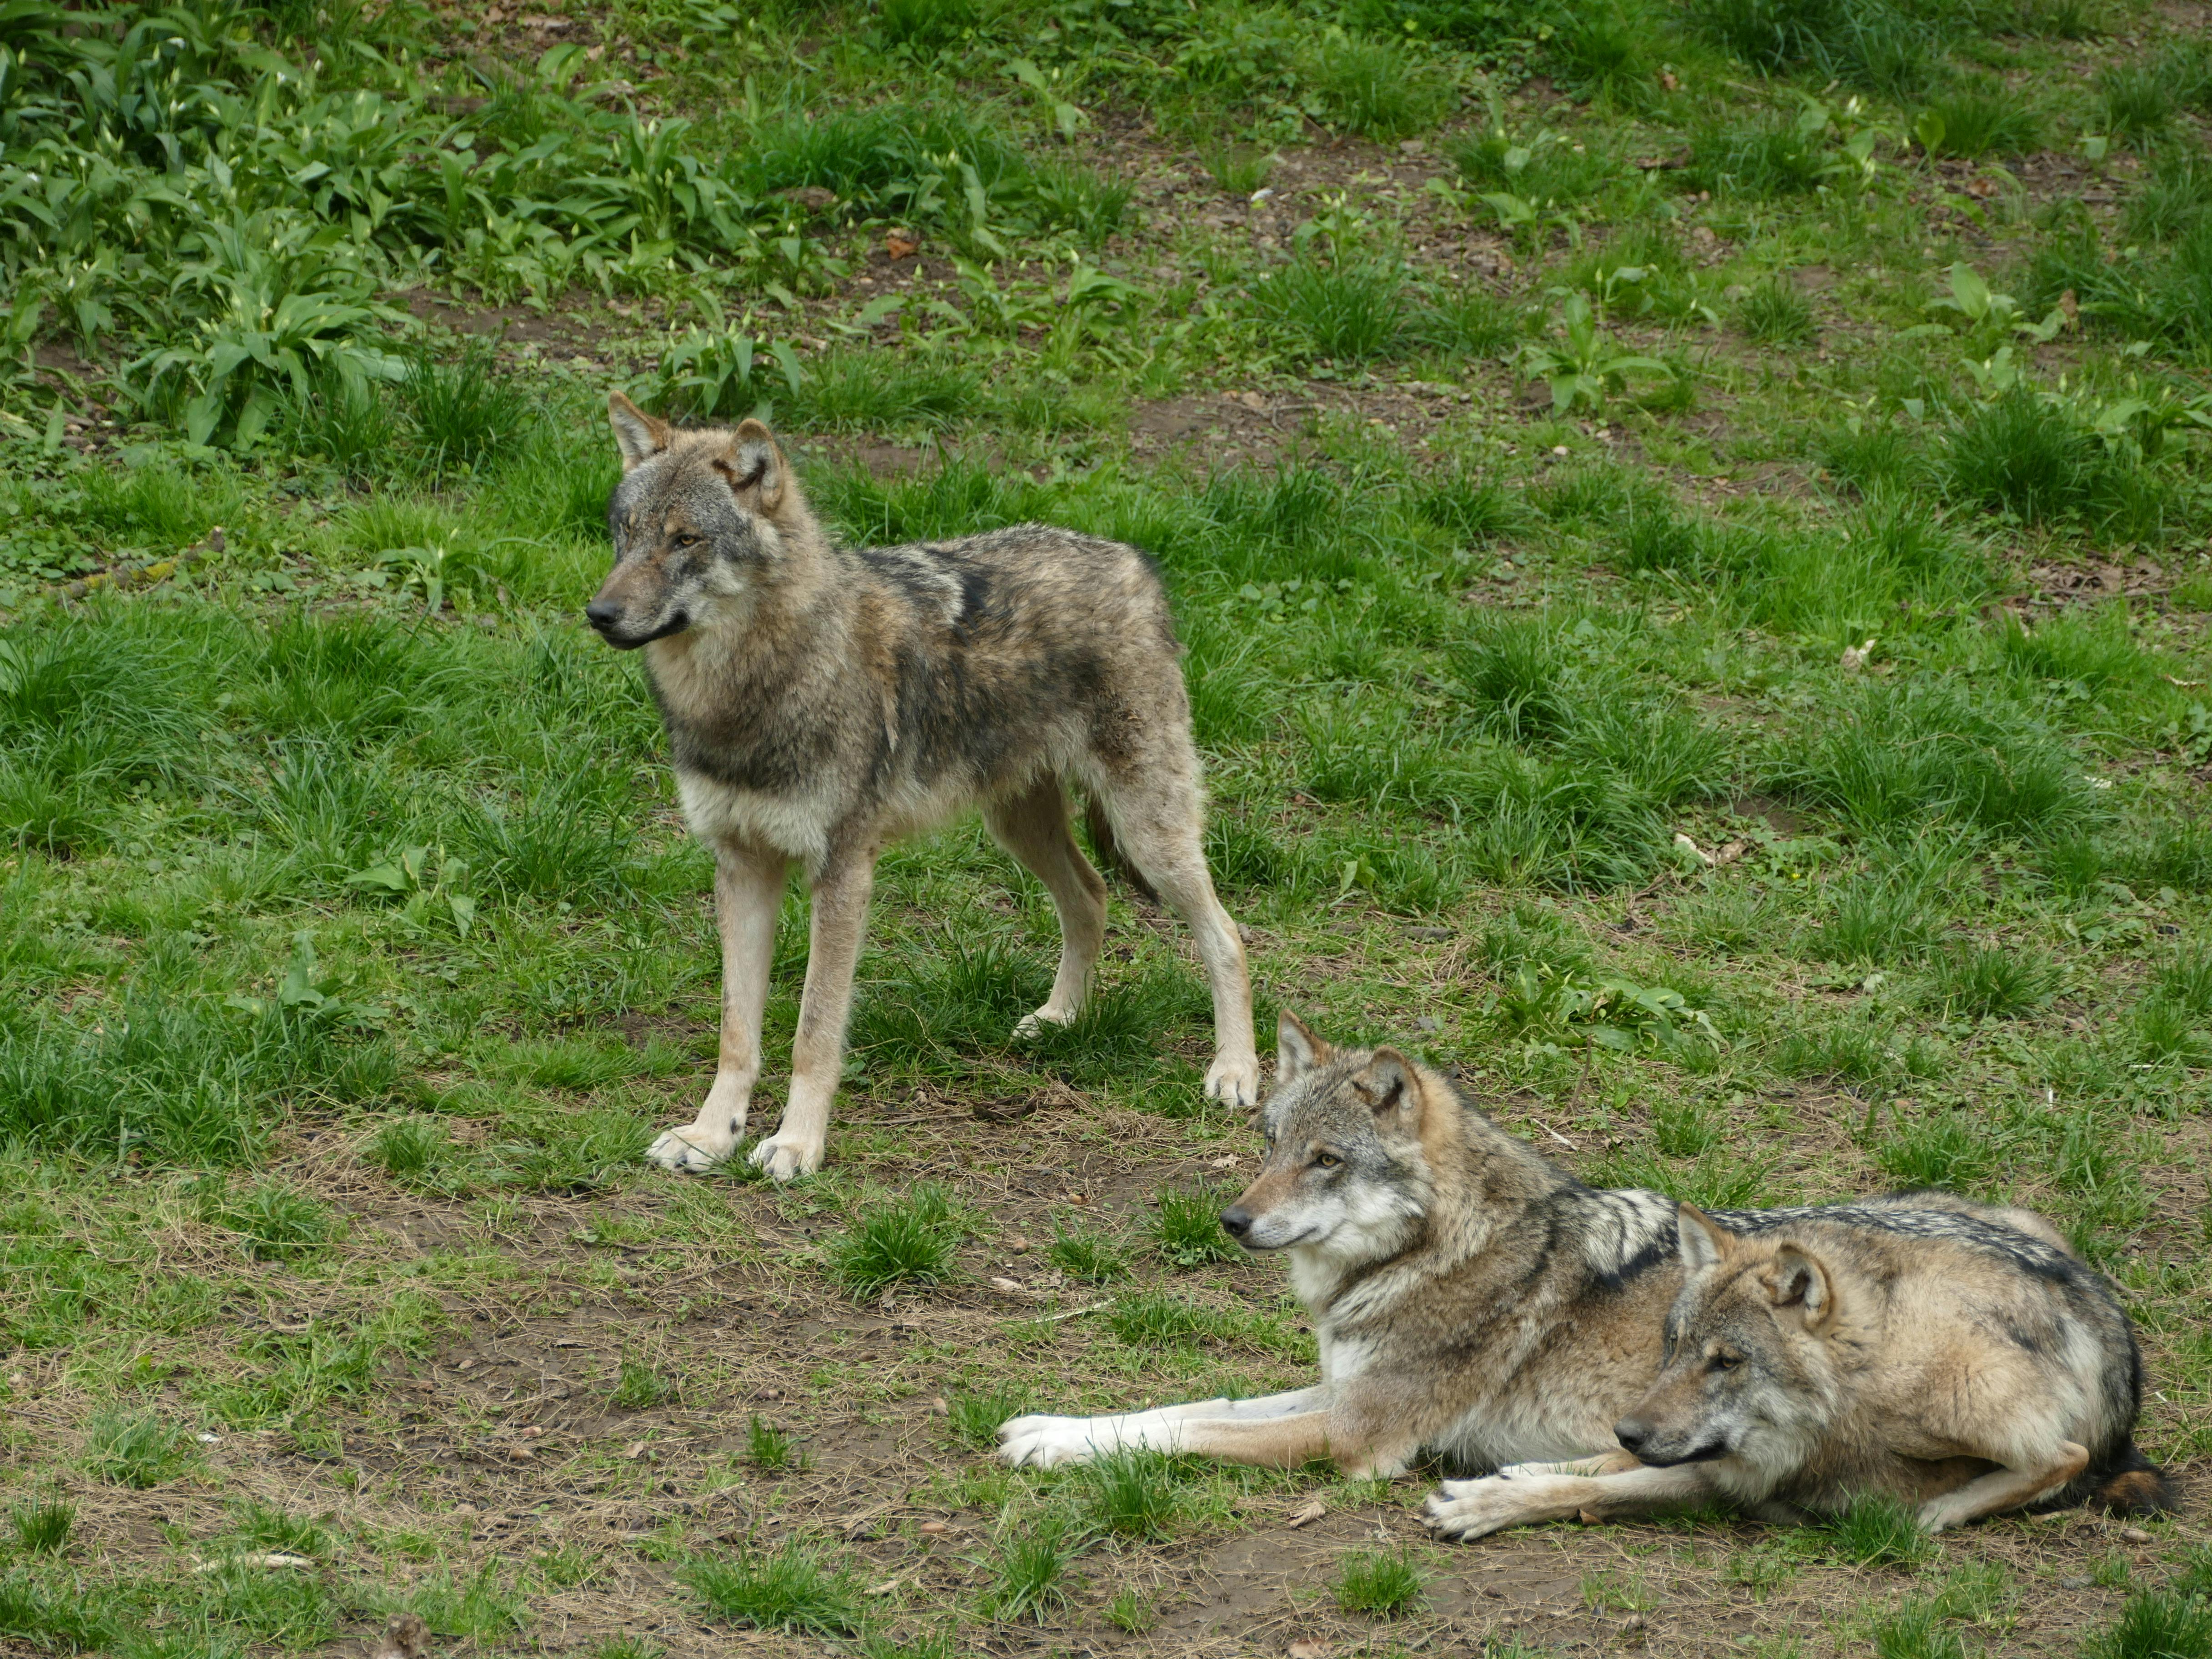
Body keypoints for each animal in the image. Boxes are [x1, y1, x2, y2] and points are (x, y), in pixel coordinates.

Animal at [590, 395, 1259, 1181]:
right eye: (626, 533)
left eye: (686, 539)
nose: (599, 615)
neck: (758, 684)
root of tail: (1134, 561)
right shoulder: (740, 865)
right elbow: (736, 1033)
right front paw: (709, 1136)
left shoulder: (843, 873)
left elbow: (814, 1029)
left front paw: (797, 1143)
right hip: (1019, 827)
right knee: (1091, 897)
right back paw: (1060, 1020)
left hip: (1147, 833)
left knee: (1227, 933)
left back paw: (1235, 1071)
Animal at [998, 1013, 2164, 1539]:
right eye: (1271, 1143)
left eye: (1325, 1161)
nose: (1234, 1220)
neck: (1424, 1255)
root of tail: (2102, 1308)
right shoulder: (1336, 1391)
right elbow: (1175, 1407)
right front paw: (1050, 1428)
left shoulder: (1353, 1434)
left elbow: (1187, 1431)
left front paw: (1052, 1448)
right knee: (1651, 1463)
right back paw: (1520, 1481)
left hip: (1911, 1401)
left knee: (2048, 1459)